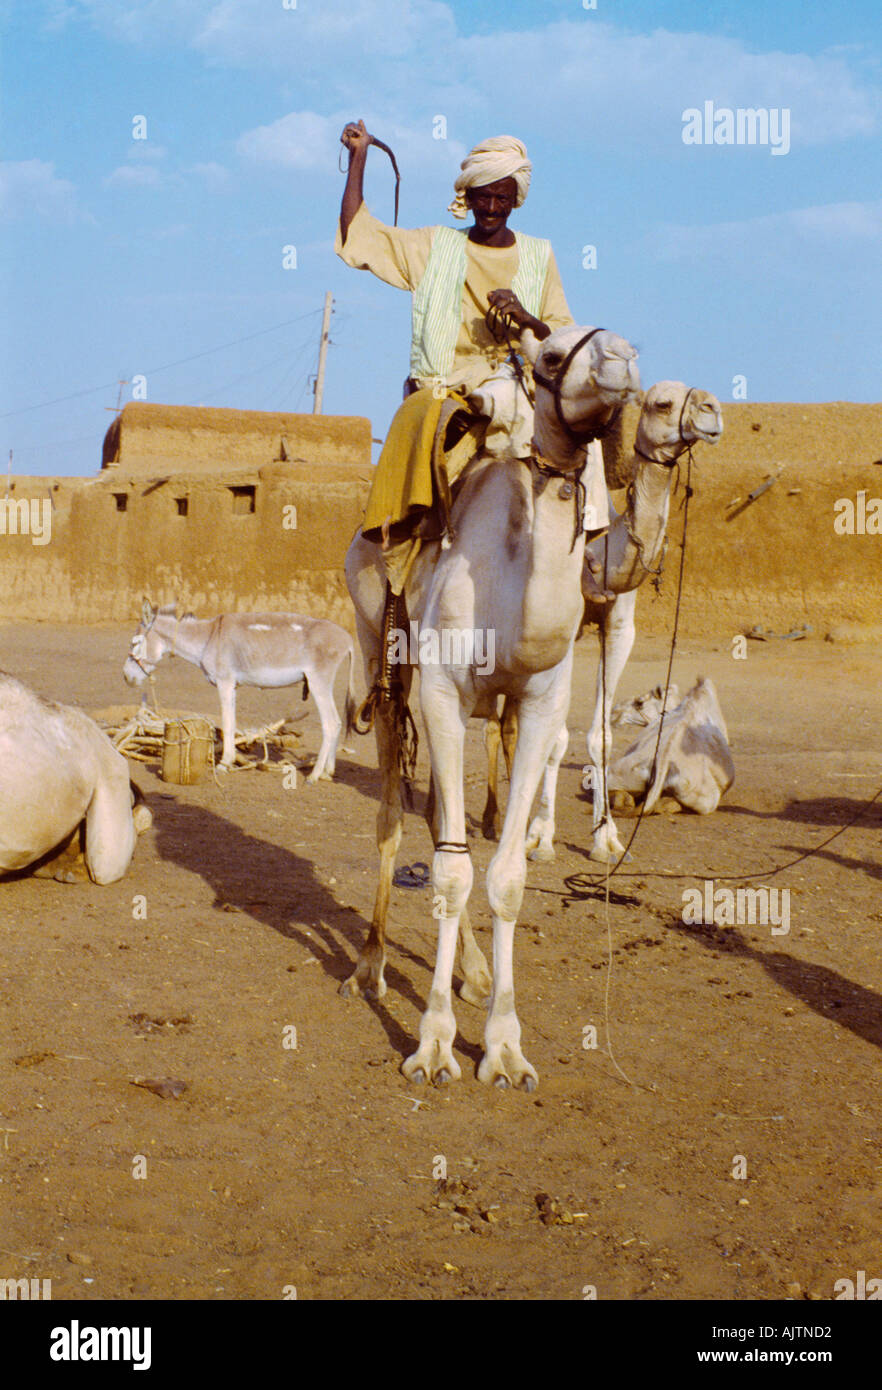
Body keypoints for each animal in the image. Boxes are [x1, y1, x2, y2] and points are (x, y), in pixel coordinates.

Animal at [124, 602, 357, 778]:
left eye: (135, 642)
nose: (126, 677)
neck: (208, 638)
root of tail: (347, 638)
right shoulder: (233, 686)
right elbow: (232, 721)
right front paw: (229, 760)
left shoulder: (225, 683)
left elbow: (227, 723)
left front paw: (224, 763)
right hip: (323, 684)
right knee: (337, 722)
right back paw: (327, 772)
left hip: (318, 682)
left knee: (330, 723)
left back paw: (315, 775)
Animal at [344, 322, 641, 1090]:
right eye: (550, 354)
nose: (622, 358)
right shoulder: (442, 693)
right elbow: (451, 871)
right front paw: (433, 1044)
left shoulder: (538, 704)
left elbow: (504, 874)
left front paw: (504, 1046)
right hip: (384, 664)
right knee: (392, 819)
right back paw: (370, 966)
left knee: (434, 819)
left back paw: (473, 975)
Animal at [511, 382, 723, 863]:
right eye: (662, 403)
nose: (713, 410)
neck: (599, 552)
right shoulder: (565, 634)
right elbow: (556, 736)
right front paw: (541, 838)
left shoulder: (620, 629)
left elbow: (599, 737)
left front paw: (605, 838)